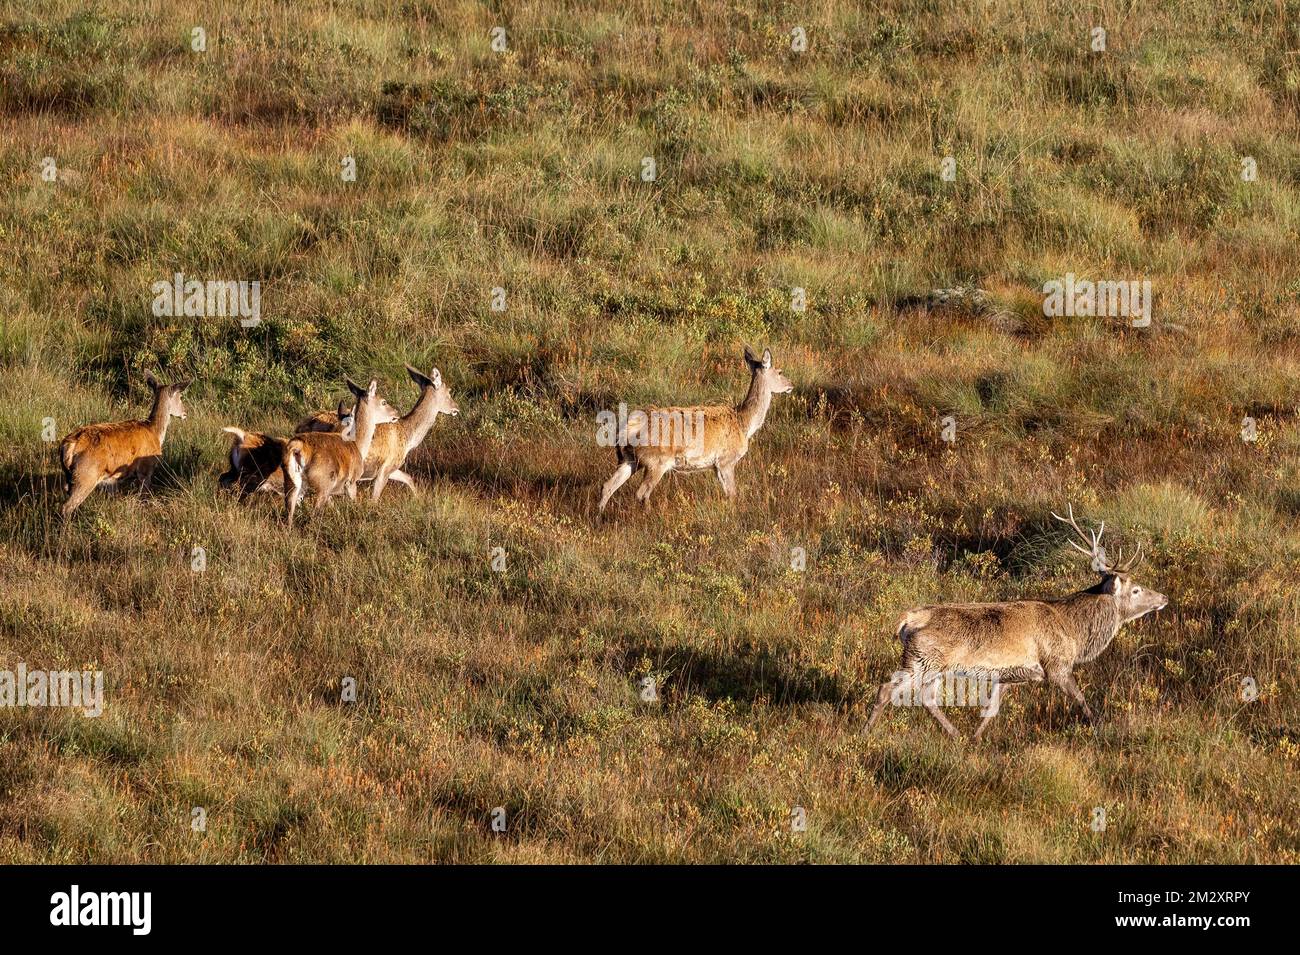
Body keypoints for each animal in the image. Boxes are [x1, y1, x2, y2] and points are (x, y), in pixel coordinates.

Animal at [59, 373, 193, 518]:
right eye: (180, 397)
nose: (185, 413)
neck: (155, 432)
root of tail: (70, 444)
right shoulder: (146, 468)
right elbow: (143, 496)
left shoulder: (111, 480)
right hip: (86, 475)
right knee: (66, 507)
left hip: (71, 477)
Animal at [282, 377, 400, 524]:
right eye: (383, 402)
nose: (396, 413)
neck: (358, 445)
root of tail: (297, 447)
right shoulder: (351, 481)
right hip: (323, 483)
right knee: (314, 513)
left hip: (292, 481)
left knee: (289, 511)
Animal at [597, 347, 794, 514]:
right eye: (780, 372)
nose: (791, 384)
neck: (744, 424)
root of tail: (628, 427)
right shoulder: (726, 460)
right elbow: (732, 494)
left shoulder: (716, 466)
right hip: (656, 461)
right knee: (641, 492)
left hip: (630, 459)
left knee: (607, 485)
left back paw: (599, 516)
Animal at [866, 505, 1168, 741]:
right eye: (1136, 590)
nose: (1163, 597)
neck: (1074, 632)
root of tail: (907, 620)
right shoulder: (1056, 664)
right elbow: (1081, 699)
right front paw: (1097, 728)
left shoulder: (1011, 675)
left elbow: (991, 710)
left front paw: (976, 739)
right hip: (921, 659)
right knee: (885, 689)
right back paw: (865, 733)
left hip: (935, 666)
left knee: (927, 698)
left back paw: (955, 734)